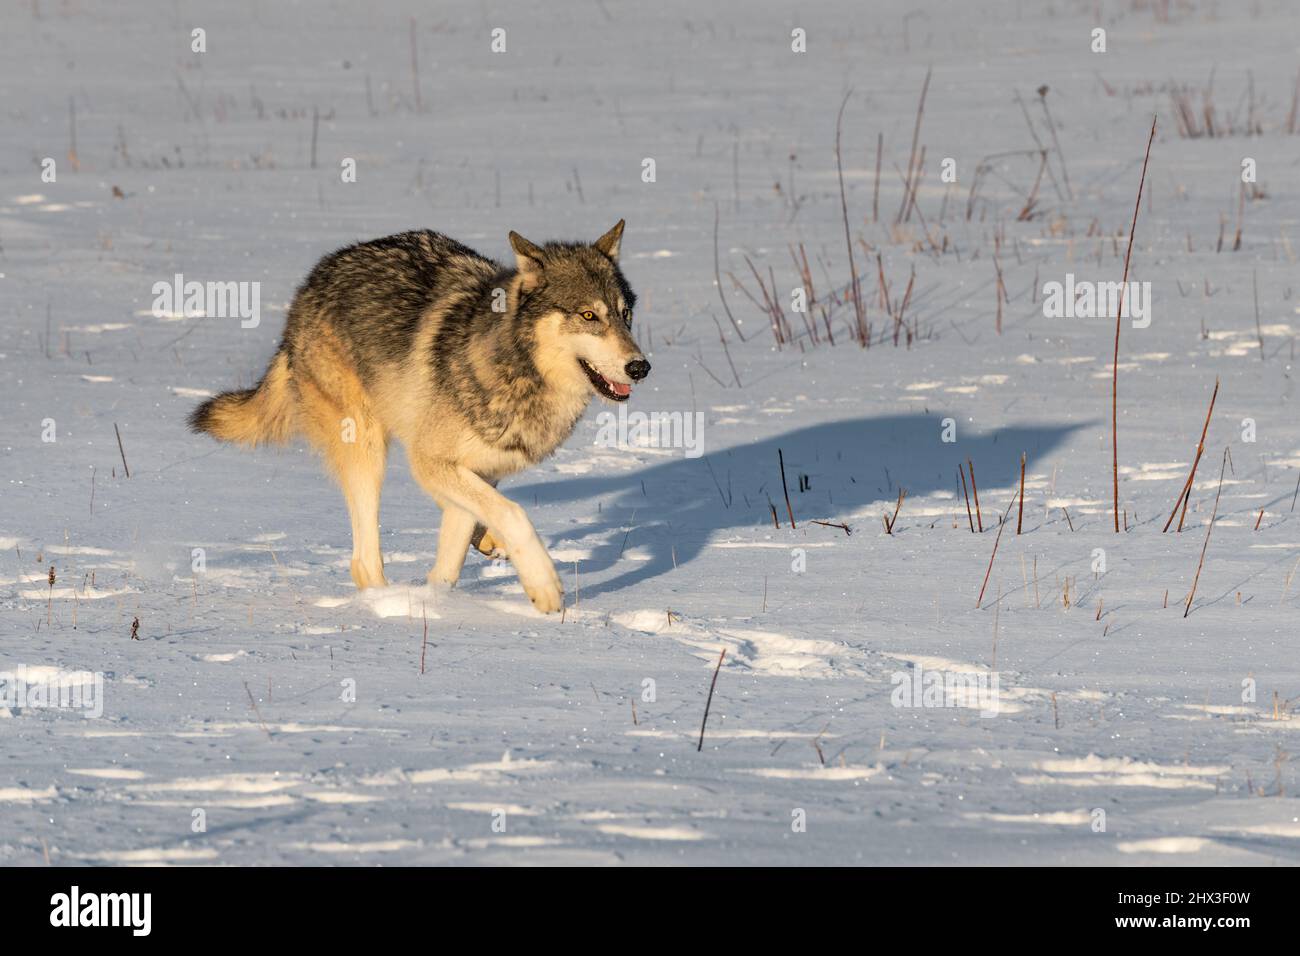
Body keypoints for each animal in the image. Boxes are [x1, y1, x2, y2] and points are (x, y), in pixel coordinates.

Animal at [189, 221, 648, 612]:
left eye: (625, 315)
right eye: (588, 316)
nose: (640, 367)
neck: (514, 371)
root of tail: (313, 280)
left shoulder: (479, 470)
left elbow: (453, 557)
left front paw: (439, 601)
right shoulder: (429, 462)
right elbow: (514, 514)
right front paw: (545, 587)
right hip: (366, 449)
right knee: (364, 560)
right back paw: (382, 604)